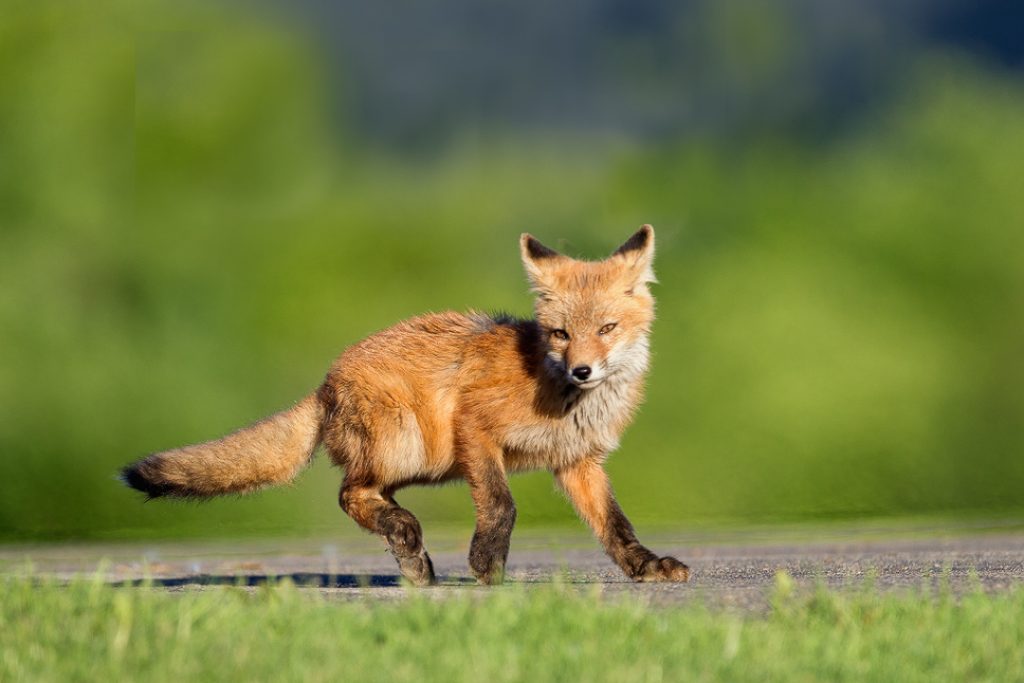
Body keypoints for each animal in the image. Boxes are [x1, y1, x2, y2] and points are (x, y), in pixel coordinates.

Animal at [122, 225, 689, 586]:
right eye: (561, 334)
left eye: (607, 328)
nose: (582, 370)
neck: (559, 392)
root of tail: (327, 380)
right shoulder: (476, 429)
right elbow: (501, 505)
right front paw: (487, 566)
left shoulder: (579, 463)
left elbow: (616, 526)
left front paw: (646, 567)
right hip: (411, 446)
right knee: (349, 494)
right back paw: (408, 542)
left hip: (418, 460)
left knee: (370, 496)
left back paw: (409, 549)